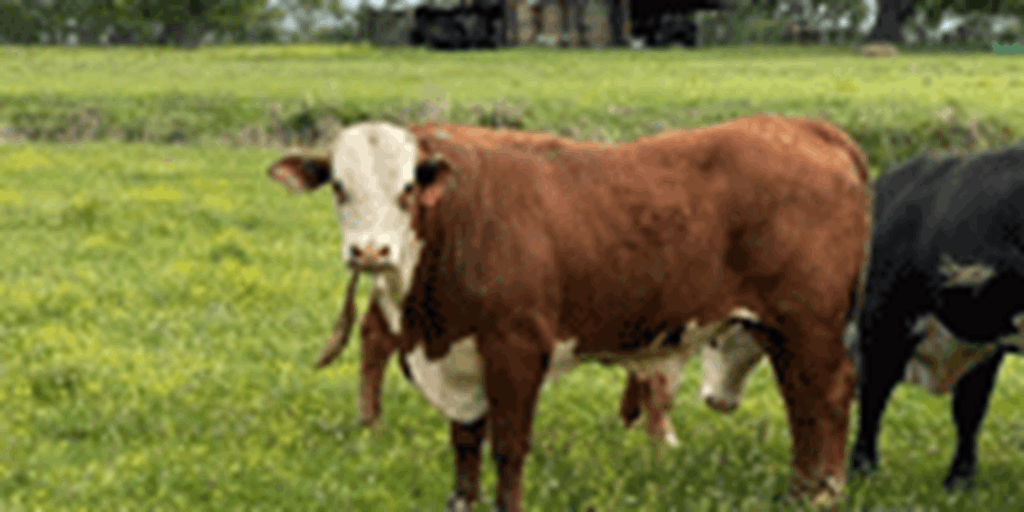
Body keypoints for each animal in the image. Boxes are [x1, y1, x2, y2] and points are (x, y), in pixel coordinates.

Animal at [265, 122, 688, 447]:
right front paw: (661, 437)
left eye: (407, 188)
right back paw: (373, 424)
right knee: (376, 336)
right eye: (338, 186)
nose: (368, 251)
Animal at [391, 115, 869, 511]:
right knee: (801, 401)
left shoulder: (513, 349)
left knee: (828, 393)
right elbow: (466, 439)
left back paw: (825, 493)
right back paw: (802, 490)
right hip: (781, 329)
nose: (375, 249)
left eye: (406, 190)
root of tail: (804, 126)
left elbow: (505, 443)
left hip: (809, 324)